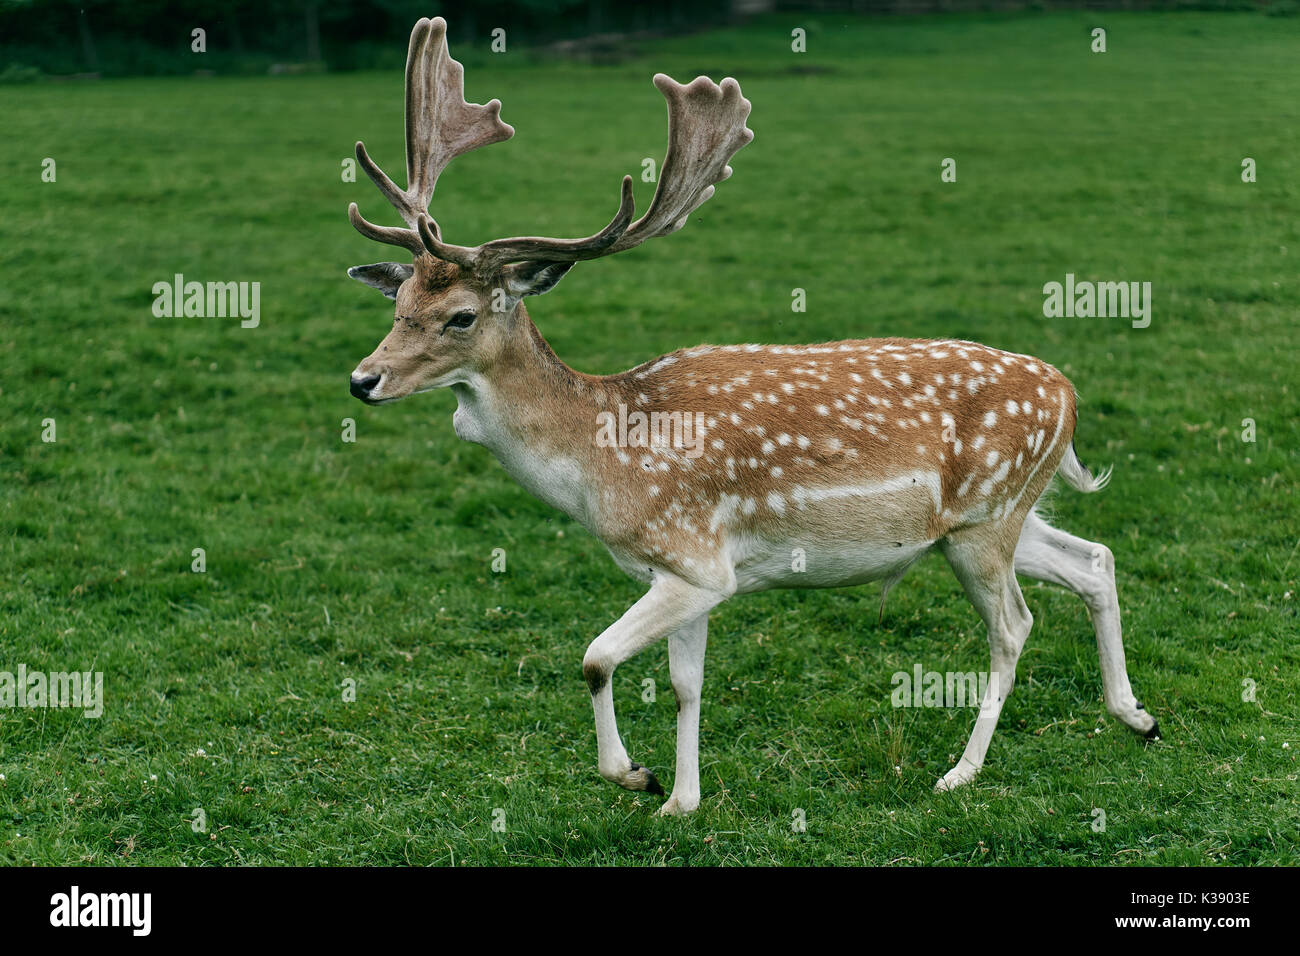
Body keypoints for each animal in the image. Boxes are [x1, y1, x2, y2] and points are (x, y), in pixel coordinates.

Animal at [344, 17, 1160, 816]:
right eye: (397, 301)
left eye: (460, 316)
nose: (362, 379)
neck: (596, 463)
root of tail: (1068, 393)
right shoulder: (686, 573)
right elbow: (685, 684)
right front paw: (681, 801)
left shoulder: (696, 560)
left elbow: (595, 659)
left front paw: (635, 776)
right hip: (992, 515)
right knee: (1094, 559)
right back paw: (1136, 716)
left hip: (986, 520)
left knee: (1015, 626)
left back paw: (961, 772)